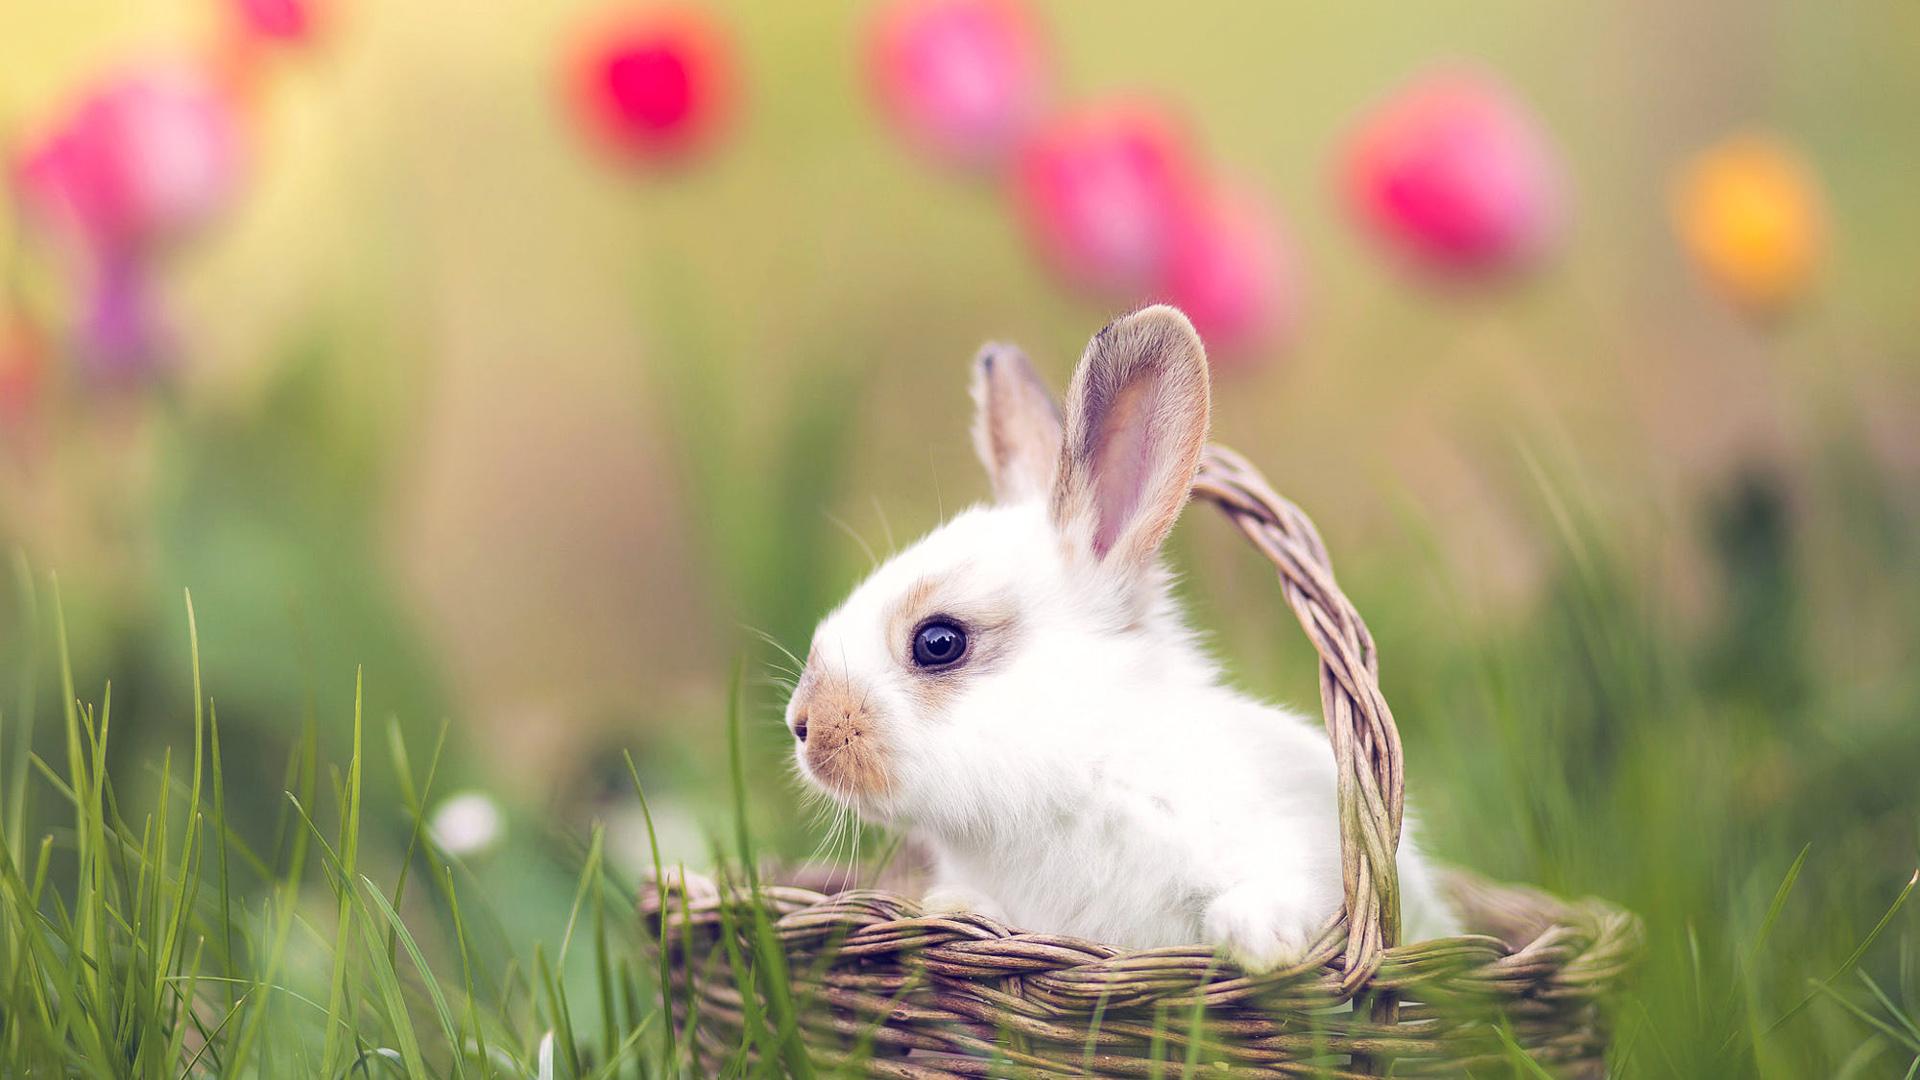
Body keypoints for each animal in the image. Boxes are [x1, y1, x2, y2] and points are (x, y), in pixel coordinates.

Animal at [784, 305, 1456, 971]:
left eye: (939, 643)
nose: (803, 724)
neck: (1085, 766)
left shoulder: (1296, 850)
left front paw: (1259, 945)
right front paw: (952, 906)